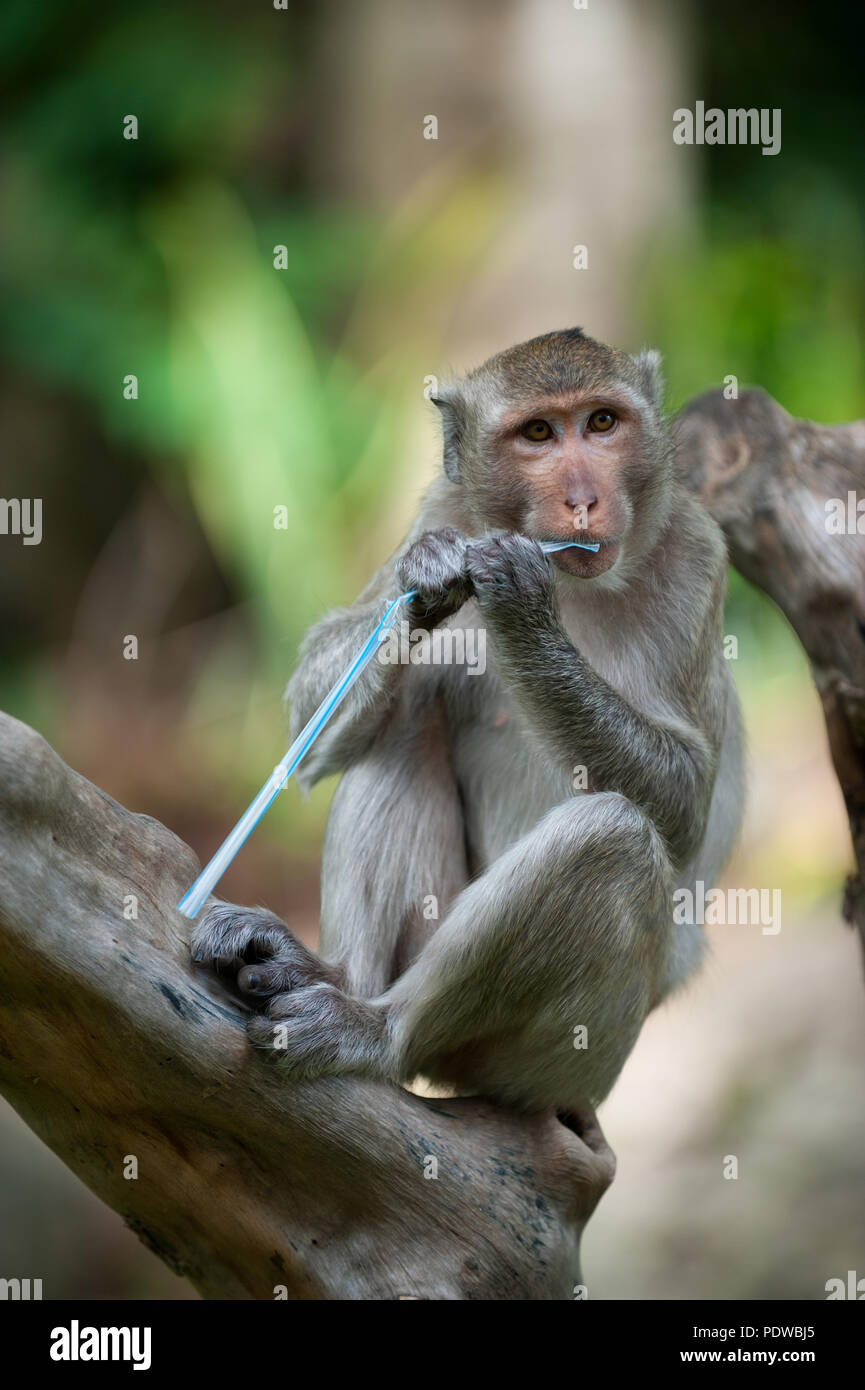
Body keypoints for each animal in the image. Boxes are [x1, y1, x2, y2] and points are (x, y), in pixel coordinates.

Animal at [190, 327, 745, 1114]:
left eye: (602, 423)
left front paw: (520, 605)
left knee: (611, 838)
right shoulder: (440, 506)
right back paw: (333, 976)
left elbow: (686, 799)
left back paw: (378, 1031)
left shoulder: (700, 557)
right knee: (399, 728)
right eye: (538, 434)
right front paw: (427, 578)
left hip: (571, 1058)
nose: (583, 499)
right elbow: (310, 726)